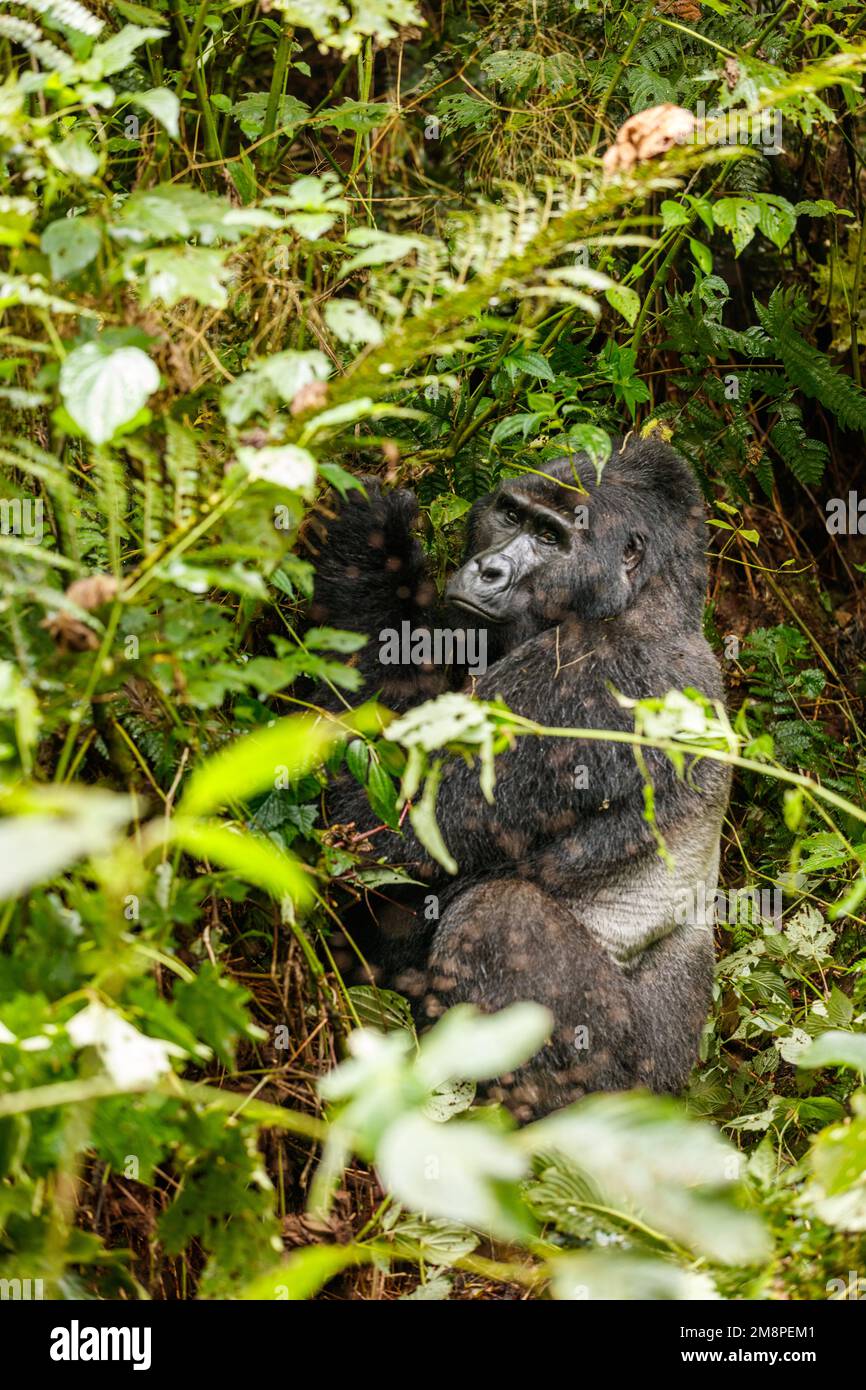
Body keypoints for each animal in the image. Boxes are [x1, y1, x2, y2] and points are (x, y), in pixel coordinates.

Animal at [307, 438, 730, 1119]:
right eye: (510, 514)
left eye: (551, 537)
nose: (487, 571)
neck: (651, 600)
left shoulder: (584, 680)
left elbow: (379, 824)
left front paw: (368, 537)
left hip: (635, 1083)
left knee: (498, 916)